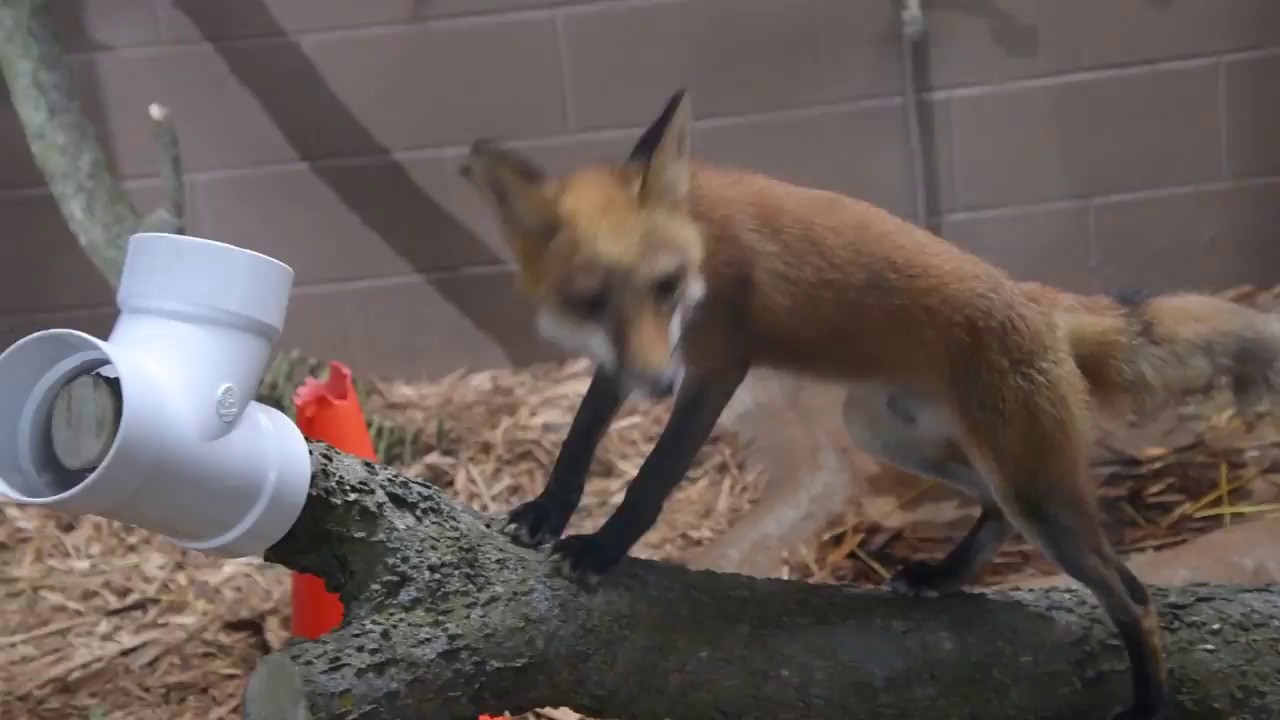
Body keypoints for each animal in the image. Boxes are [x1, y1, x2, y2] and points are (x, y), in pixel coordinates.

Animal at [461, 88, 1185, 719]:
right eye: (589, 302)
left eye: (665, 287)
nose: (658, 386)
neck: (701, 233)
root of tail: (1042, 304)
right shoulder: (624, 365)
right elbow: (578, 440)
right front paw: (546, 513)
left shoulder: (716, 366)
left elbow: (651, 479)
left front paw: (603, 549)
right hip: (891, 435)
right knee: (1000, 514)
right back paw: (941, 578)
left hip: (1033, 494)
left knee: (1134, 597)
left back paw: (1147, 703)